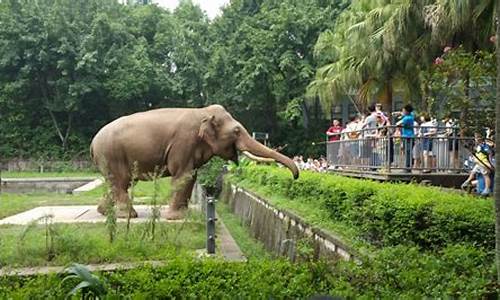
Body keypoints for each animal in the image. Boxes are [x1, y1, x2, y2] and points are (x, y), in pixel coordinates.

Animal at [90, 104, 298, 219]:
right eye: (236, 131)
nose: (295, 177)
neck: (203, 112)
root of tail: (93, 143)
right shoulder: (184, 142)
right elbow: (182, 175)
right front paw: (175, 218)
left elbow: (191, 176)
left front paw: (185, 215)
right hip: (111, 154)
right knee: (121, 182)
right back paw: (128, 216)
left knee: (119, 184)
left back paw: (104, 212)